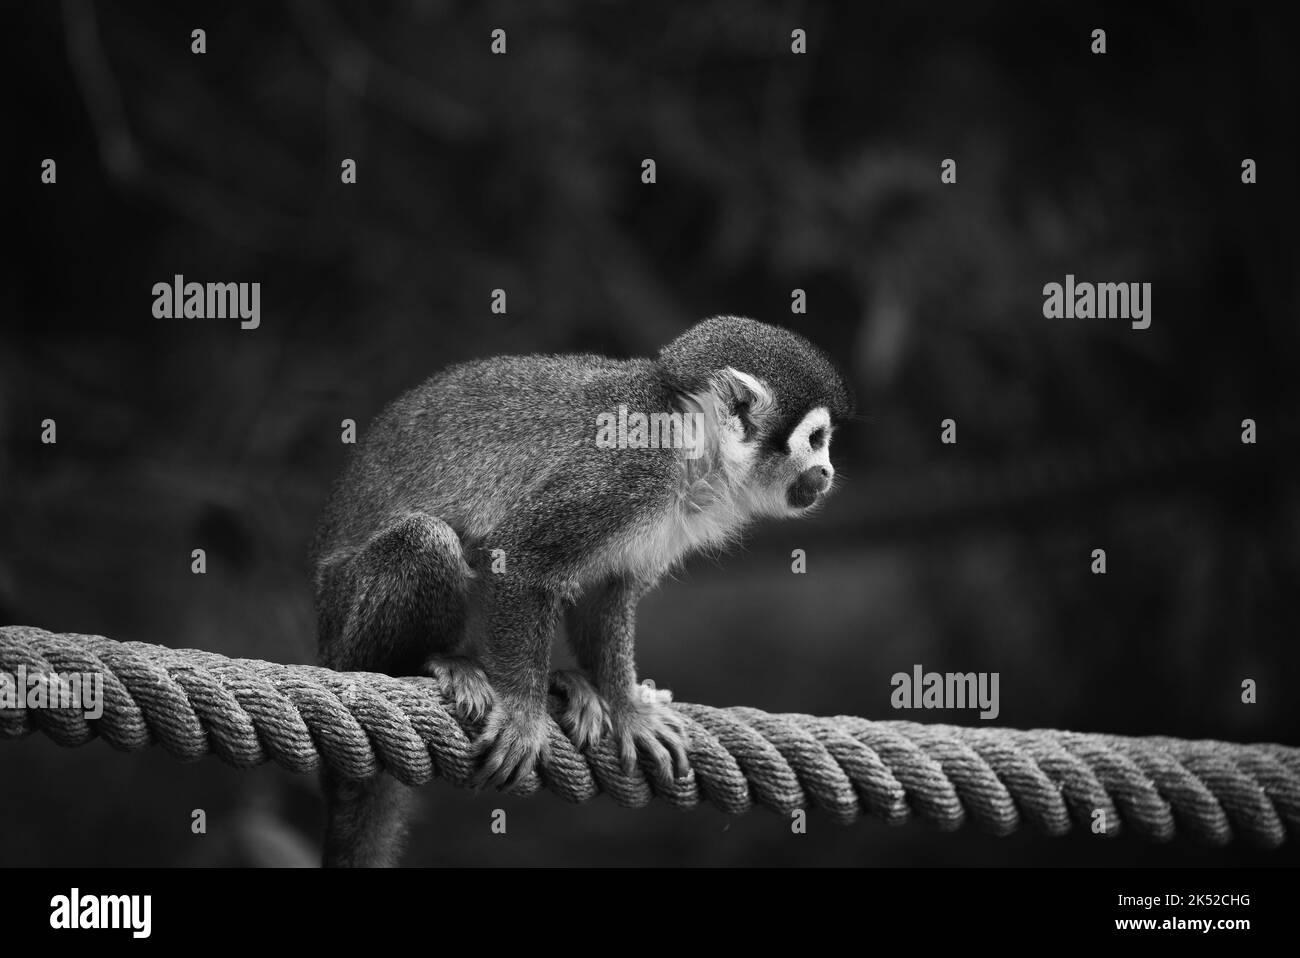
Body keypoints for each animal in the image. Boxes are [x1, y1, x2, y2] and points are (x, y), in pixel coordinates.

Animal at [310, 315, 854, 866]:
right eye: (816, 438)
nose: (827, 472)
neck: (690, 439)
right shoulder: (629, 469)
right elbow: (520, 558)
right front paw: (523, 713)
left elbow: (608, 596)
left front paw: (627, 706)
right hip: (346, 625)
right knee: (426, 539)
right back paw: (435, 663)